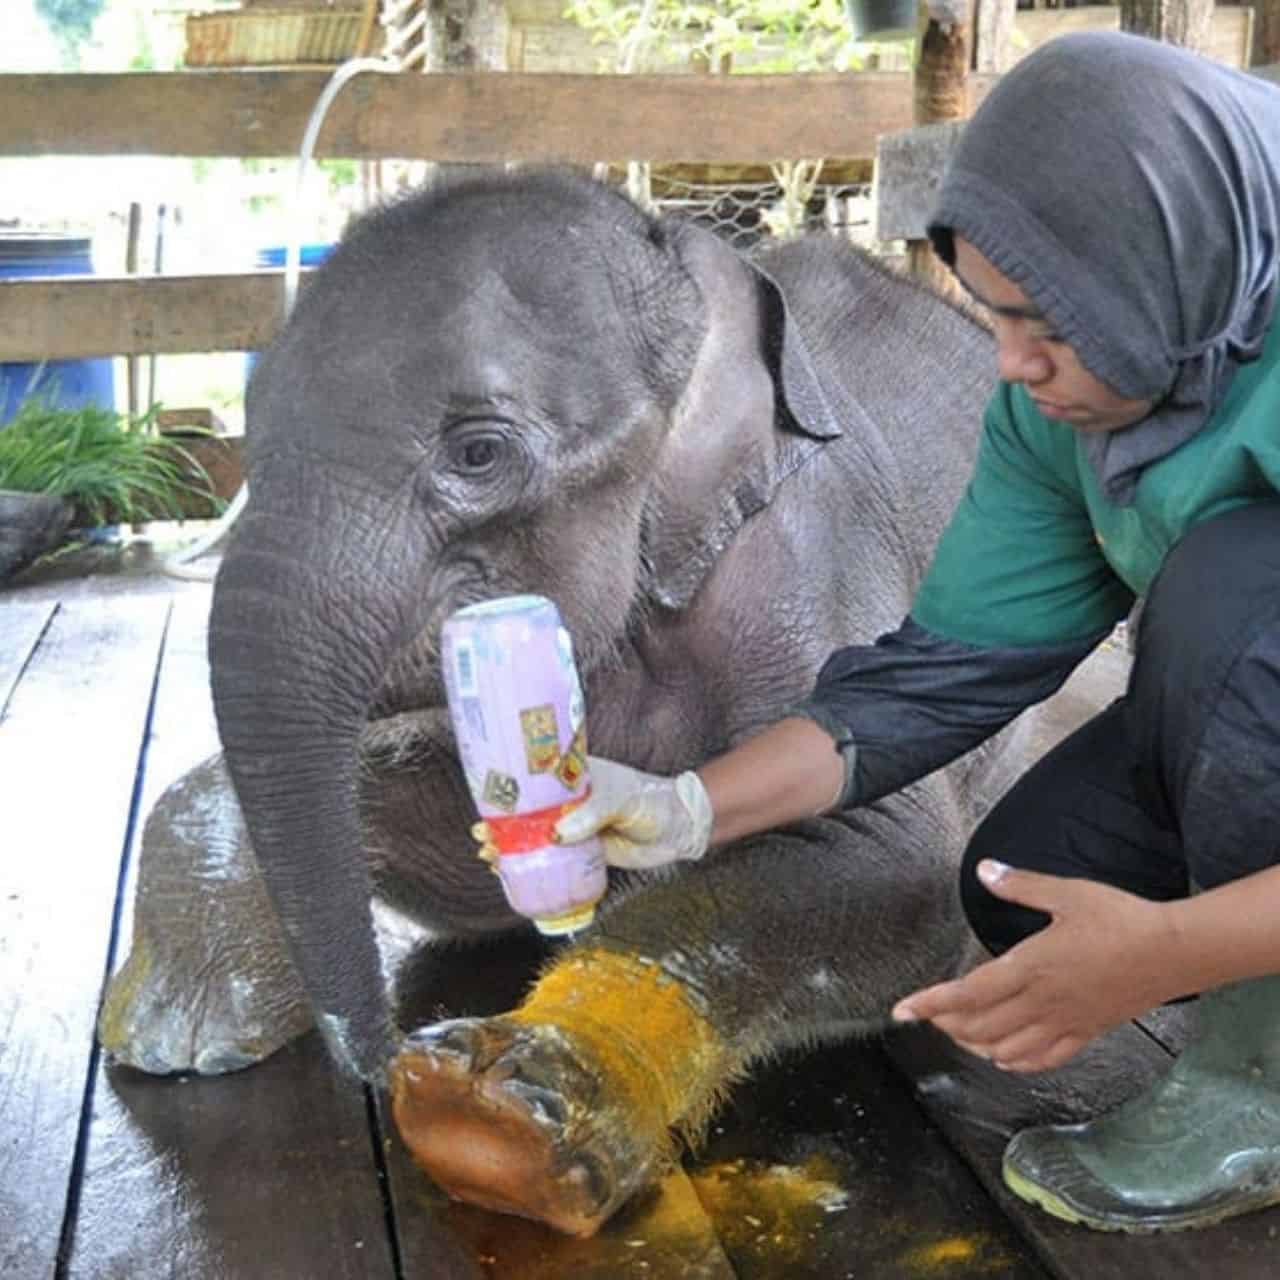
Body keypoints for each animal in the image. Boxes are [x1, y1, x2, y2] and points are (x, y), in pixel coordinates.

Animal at [99, 169, 1016, 1237]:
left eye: (478, 454)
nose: (378, 1062)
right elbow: (455, 859)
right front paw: (172, 1034)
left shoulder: (816, 558)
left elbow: (899, 860)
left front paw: (496, 1116)